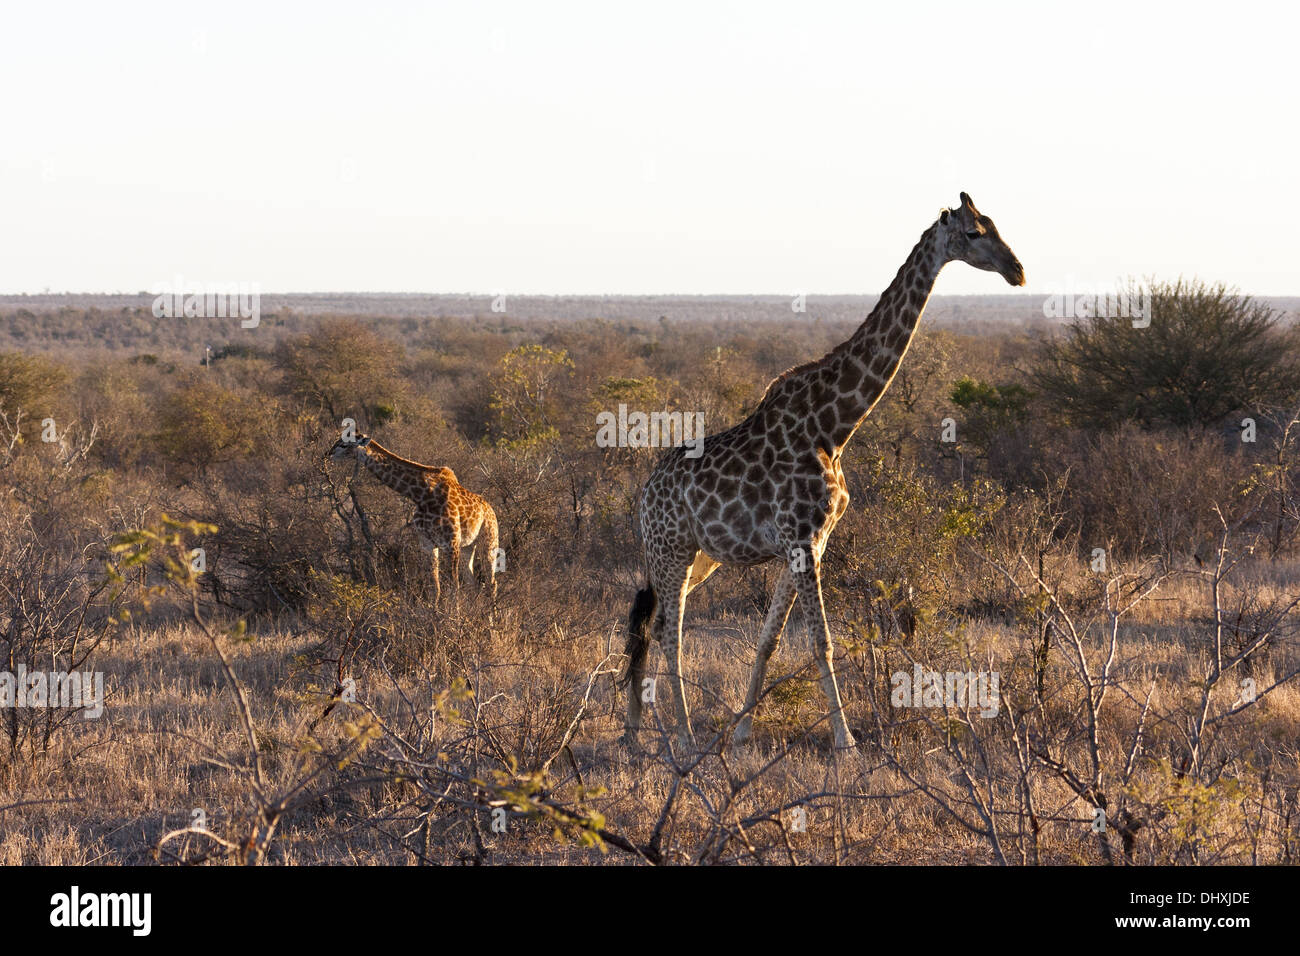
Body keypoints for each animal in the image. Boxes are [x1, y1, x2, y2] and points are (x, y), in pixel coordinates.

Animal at [327, 434, 499, 607]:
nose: (328, 454)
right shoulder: (426, 542)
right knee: (472, 583)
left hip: (489, 541)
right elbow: (435, 588)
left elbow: (453, 588)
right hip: (468, 546)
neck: (421, 495)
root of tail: (491, 510)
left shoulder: (451, 543)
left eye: (343, 444)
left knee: (491, 584)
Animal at [620, 192, 1025, 751]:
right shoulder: (800, 538)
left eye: (994, 224)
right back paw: (682, 737)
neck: (833, 427)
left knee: (651, 621)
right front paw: (845, 741)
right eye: (973, 233)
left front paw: (742, 732)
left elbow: (770, 640)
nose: (1018, 270)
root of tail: (643, 493)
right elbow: (822, 642)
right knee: (668, 632)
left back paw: (636, 731)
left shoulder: (813, 540)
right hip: (671, 549)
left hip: (700, 558)